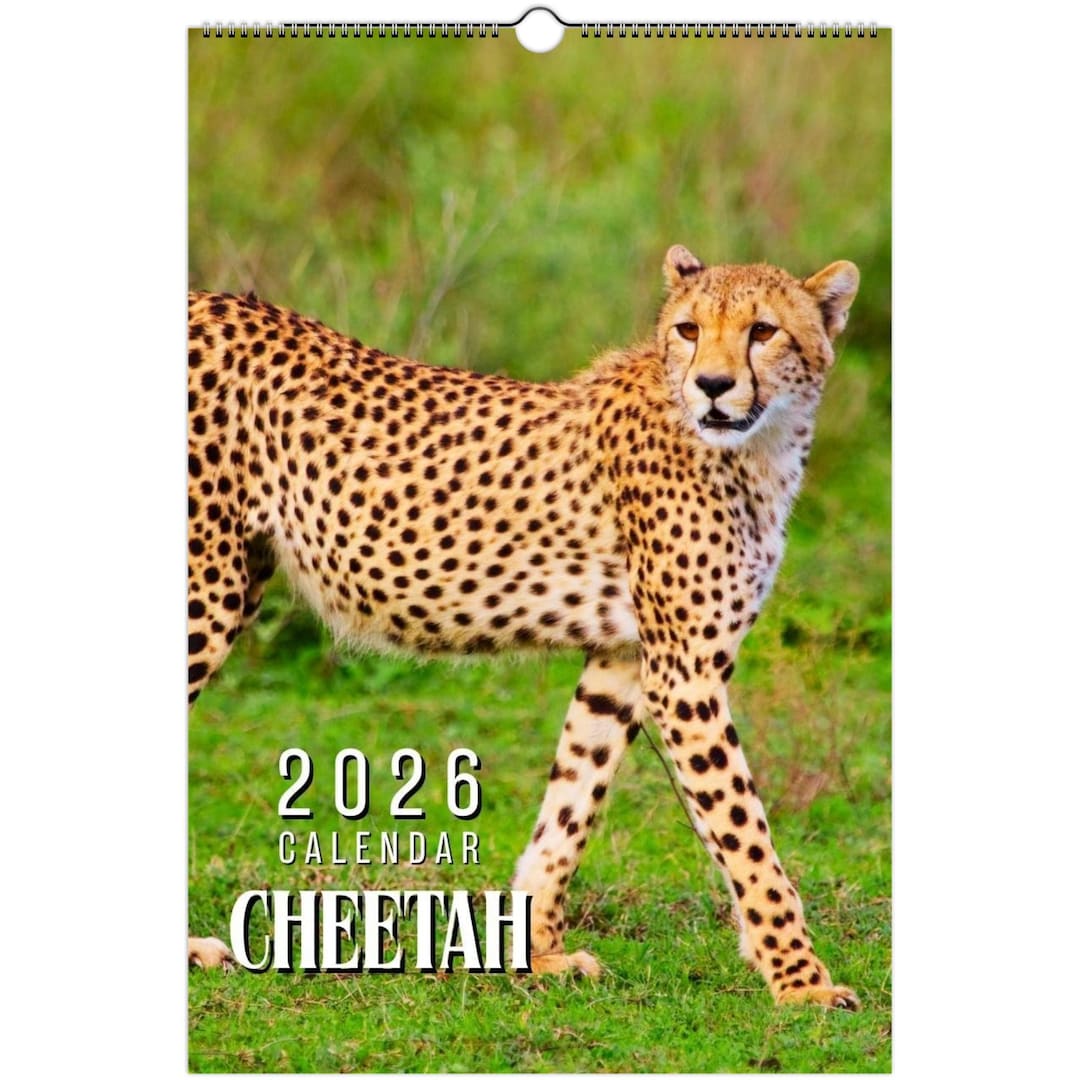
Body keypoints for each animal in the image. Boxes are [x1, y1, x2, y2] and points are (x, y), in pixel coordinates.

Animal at [187, 245, 860, 1008]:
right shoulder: (685, 673)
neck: (760, 447)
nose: (713, 386)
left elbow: (573, 798)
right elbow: (745, 832)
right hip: (208, 587)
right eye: (689, 329)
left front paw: (535, 952)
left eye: (763, 331)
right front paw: (802, 980)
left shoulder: (625, 660)